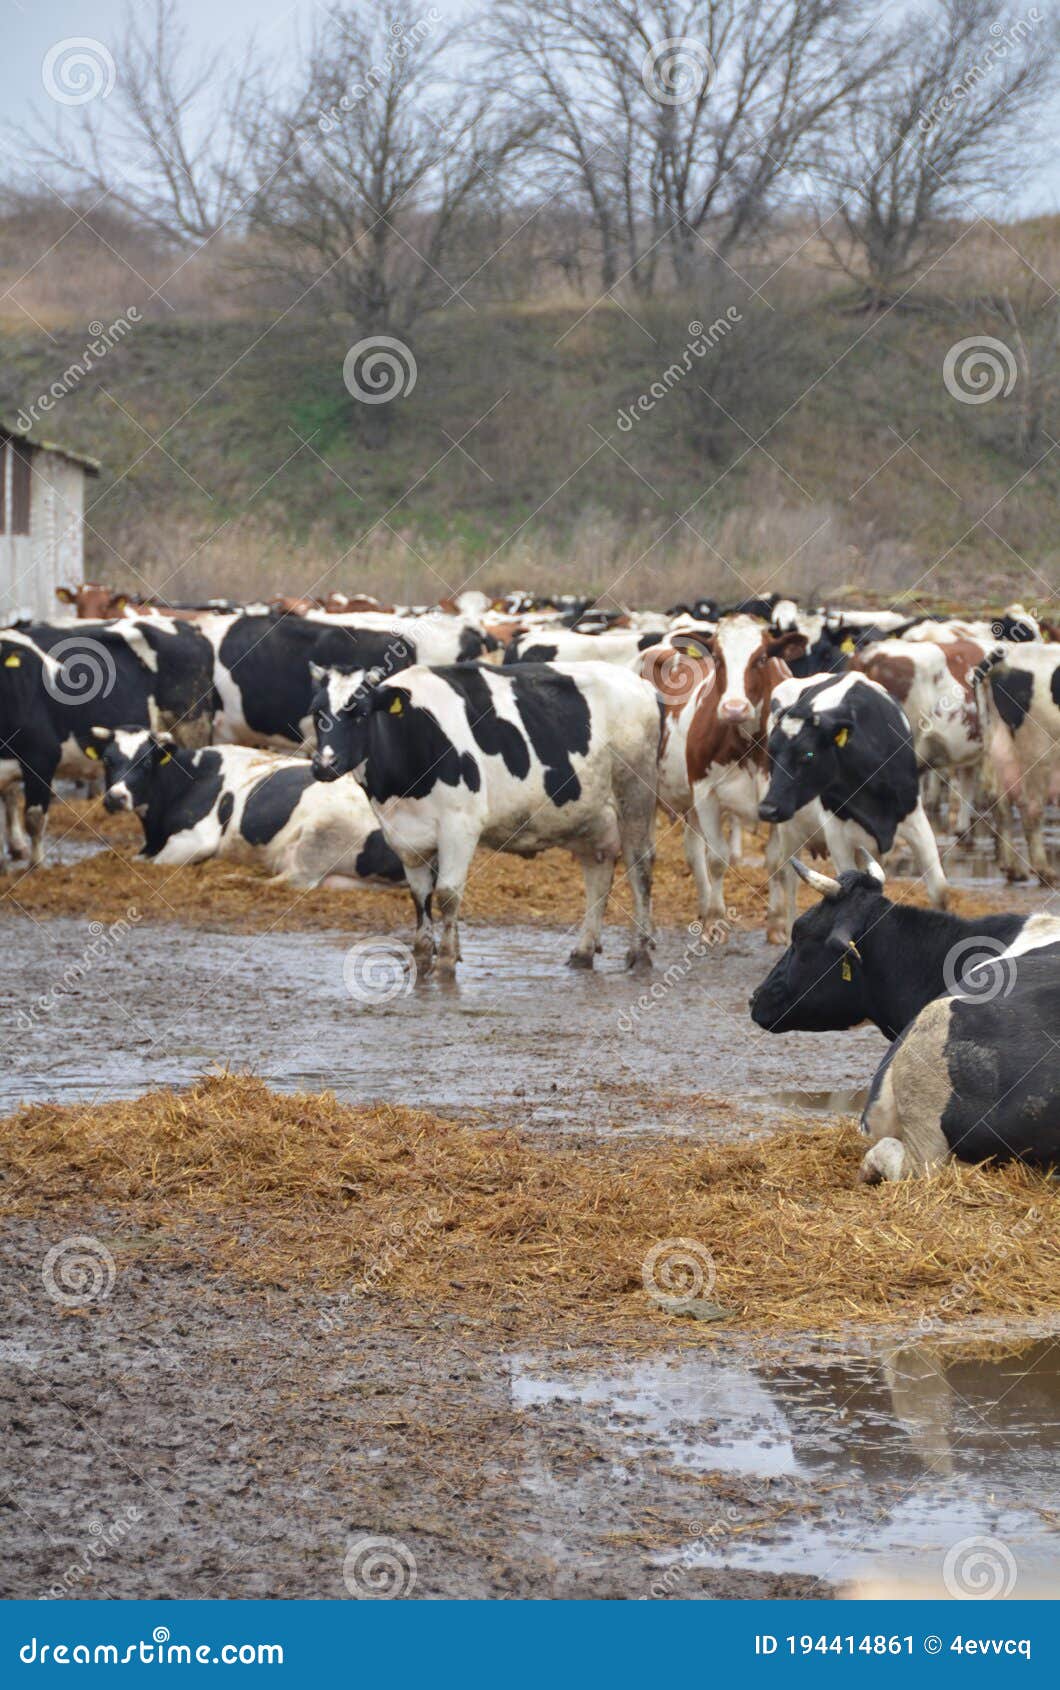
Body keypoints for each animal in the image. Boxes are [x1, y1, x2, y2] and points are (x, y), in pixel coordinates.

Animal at [91, 725, 404, 889]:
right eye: (107, 759)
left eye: (145, 762)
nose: (115, 797)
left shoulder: (196, 840)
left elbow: (154, 863)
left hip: (321, 834)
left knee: (291, 880)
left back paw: (231, 878)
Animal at [310, 661, 660, 975]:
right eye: (317, 714)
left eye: (361, 713)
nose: (325, 764)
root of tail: (639, 683)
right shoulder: (404, 836)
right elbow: (420, 896)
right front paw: (422, 959)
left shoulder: (460, 825)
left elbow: (448, 894)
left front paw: (446, 961)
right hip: (589, 815)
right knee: (598, 873)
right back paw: (583, 952)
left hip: (635, 796)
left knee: (639, 867)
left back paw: (640, 953)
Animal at [759, 671, 948, 916]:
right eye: (771, 753)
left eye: (808, 755)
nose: (767, 809)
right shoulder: (837, 834)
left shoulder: (915, 818)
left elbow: (940, 891)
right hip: (790, 830)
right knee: (789, 881)